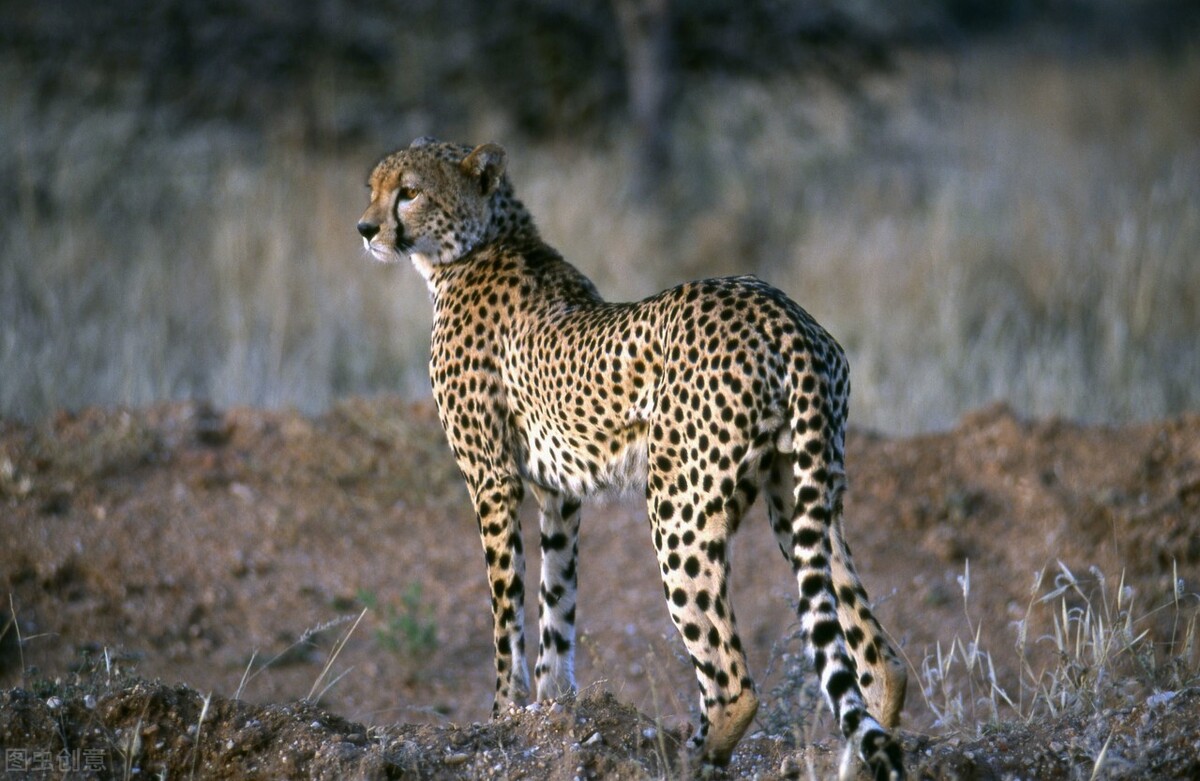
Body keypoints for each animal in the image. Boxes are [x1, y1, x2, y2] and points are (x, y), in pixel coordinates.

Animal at [357, 137, 907, 779]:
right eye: (373, 188)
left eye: (409, 192)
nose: (366, 229)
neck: (478, 245)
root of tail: (782, 313)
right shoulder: (559, 495)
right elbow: (556, 605)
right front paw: (554, 711)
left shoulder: (491, 481)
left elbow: (506, 616)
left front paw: (502, 717)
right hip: (800, 497)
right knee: (881, 662)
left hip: (679, 507)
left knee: (734, 684)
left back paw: (685, 759)